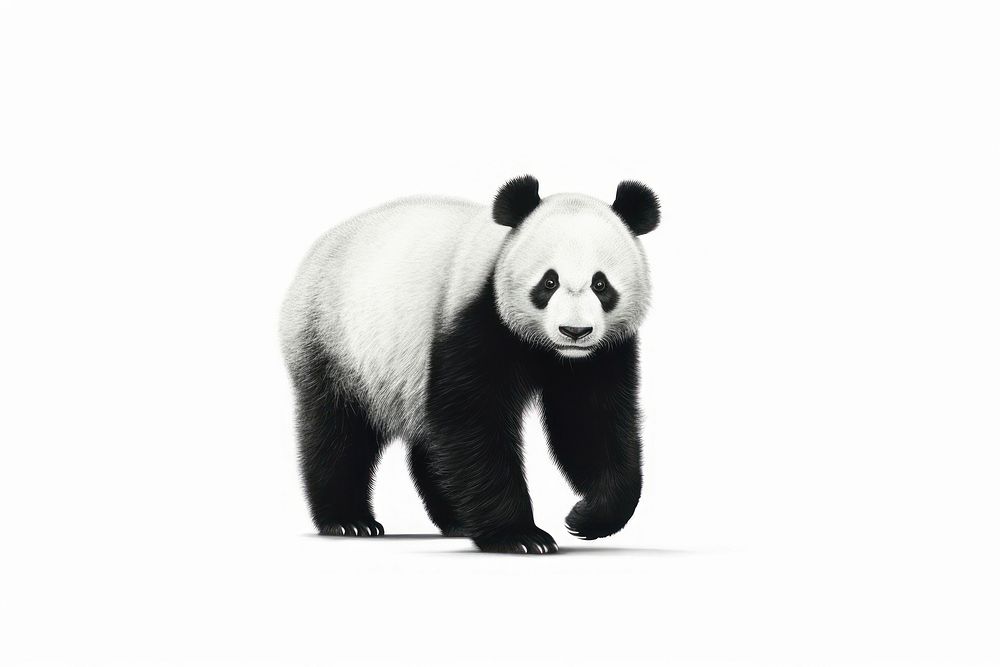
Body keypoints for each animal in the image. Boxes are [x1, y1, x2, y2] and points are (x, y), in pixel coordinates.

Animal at [280, 175, 659, 554]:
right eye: (549, 282)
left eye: (601, 283)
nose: (575, 331)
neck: (552, 352)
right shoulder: (473, 315)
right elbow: (474, 419)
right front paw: (520, 536)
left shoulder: (602, 353)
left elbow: (591, 422)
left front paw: (588, 516)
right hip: (336, 341)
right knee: (339, 432)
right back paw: (349, 521)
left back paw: (456, 519)